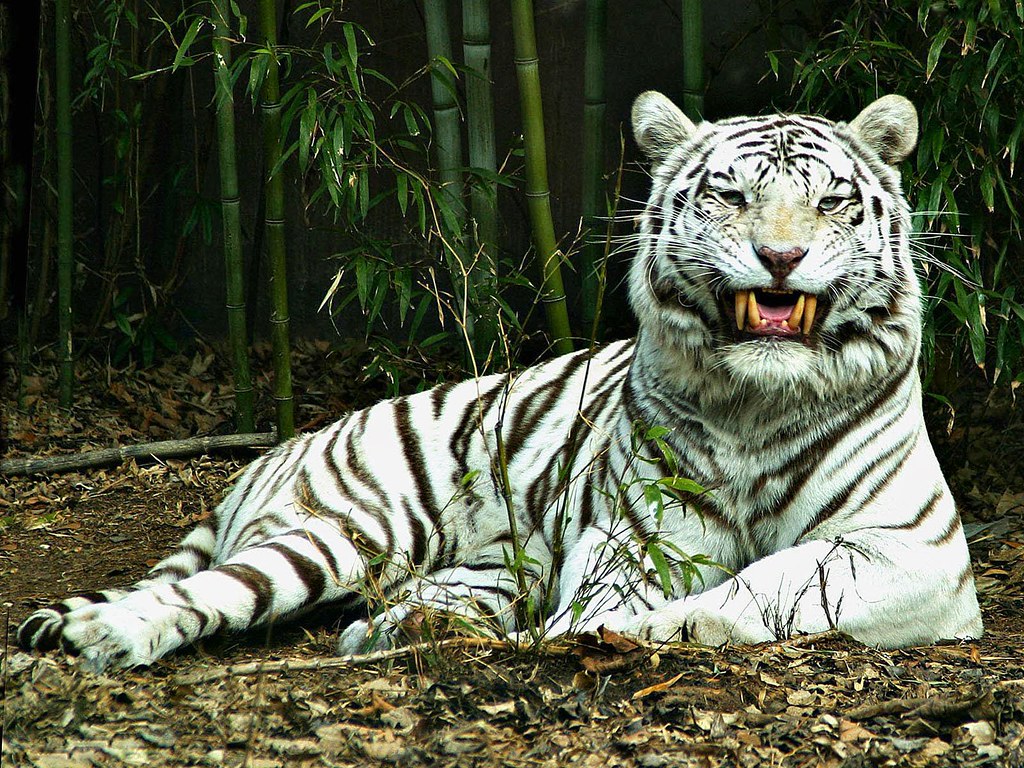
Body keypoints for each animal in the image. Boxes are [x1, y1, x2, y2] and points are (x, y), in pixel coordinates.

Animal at [17, 92, 983, 672]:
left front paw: (618, 632)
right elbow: (641, 593)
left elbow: (763, 589)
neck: (756, 398)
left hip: (470, 567)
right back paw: (110, 634)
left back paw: (405, 630)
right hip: (342, 531)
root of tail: (278, 448)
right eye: (729, 196)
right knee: (217, 589)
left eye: (830, 202)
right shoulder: (634, 536)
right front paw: (591, 630)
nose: (779, 257)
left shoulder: (910, 548)